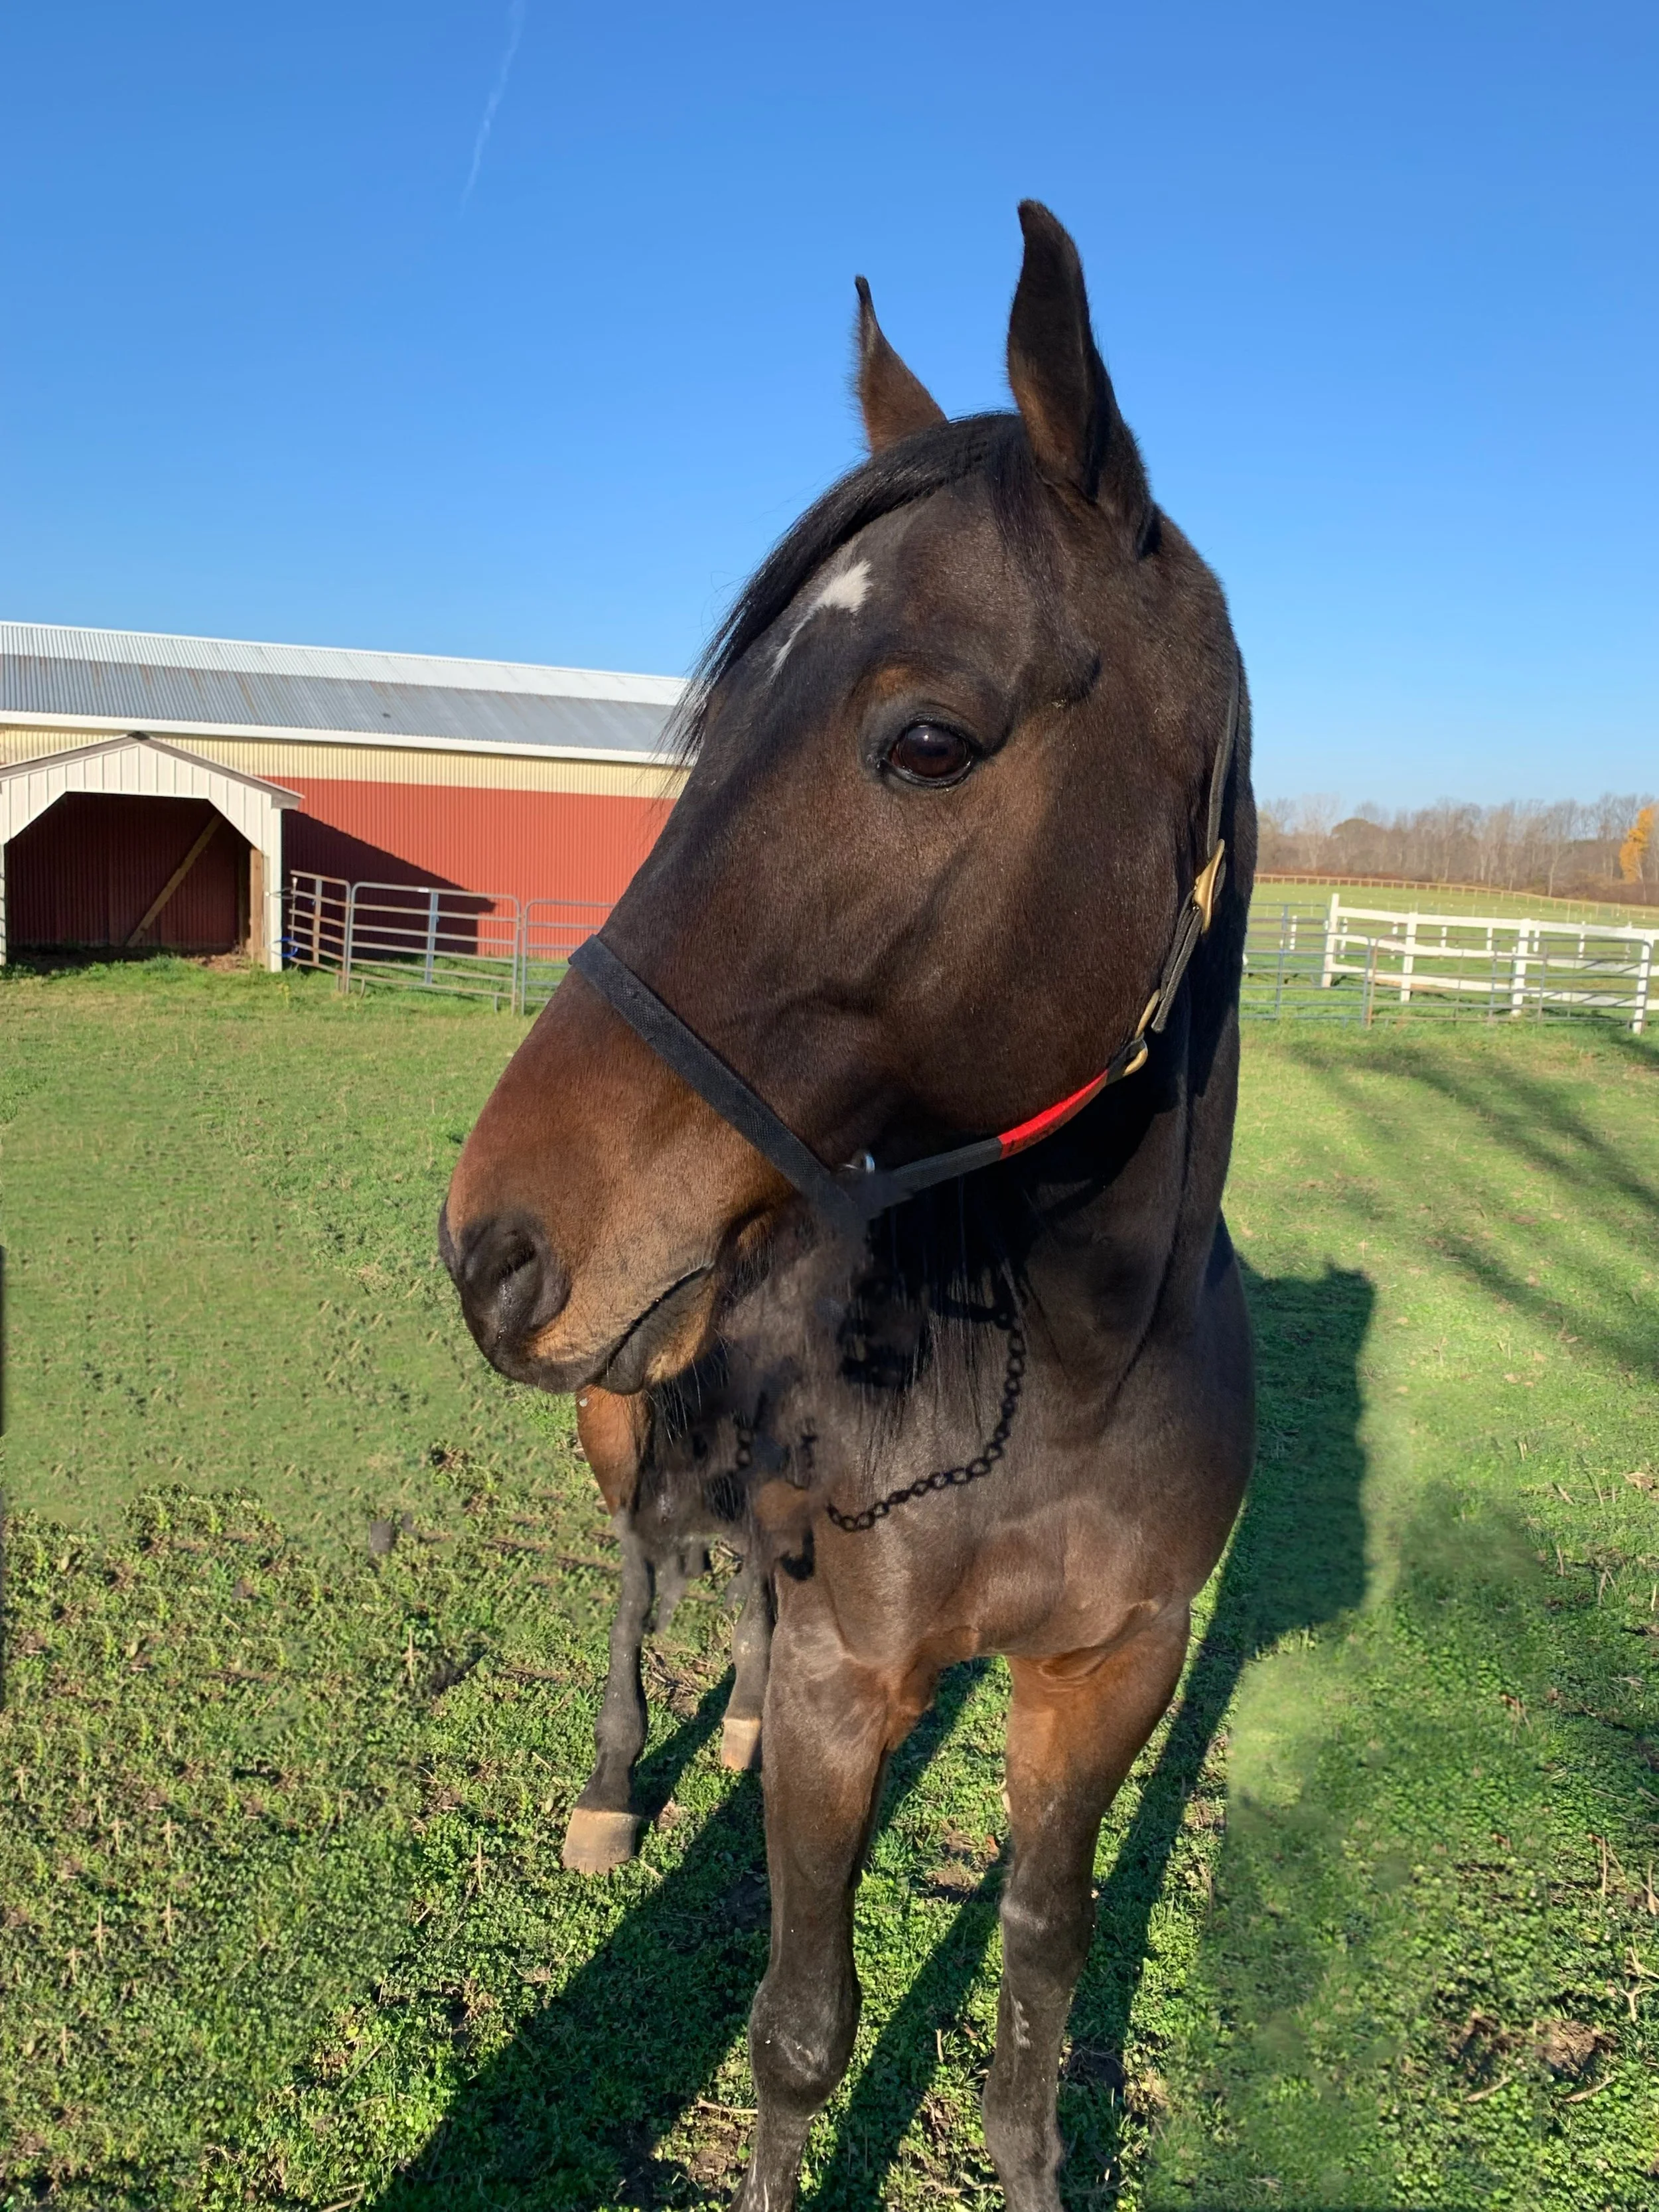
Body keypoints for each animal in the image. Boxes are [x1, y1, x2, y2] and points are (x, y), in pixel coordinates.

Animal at [441, 200, 1256, 2212]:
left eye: (928, 742)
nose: (494, 1240)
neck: (1067, 1369)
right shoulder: (850, 1690)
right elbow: (801, 2027)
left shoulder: (1108, 1676)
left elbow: (1040, 1976)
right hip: (615, 1424)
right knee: (642, 1575)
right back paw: (618, 1782)